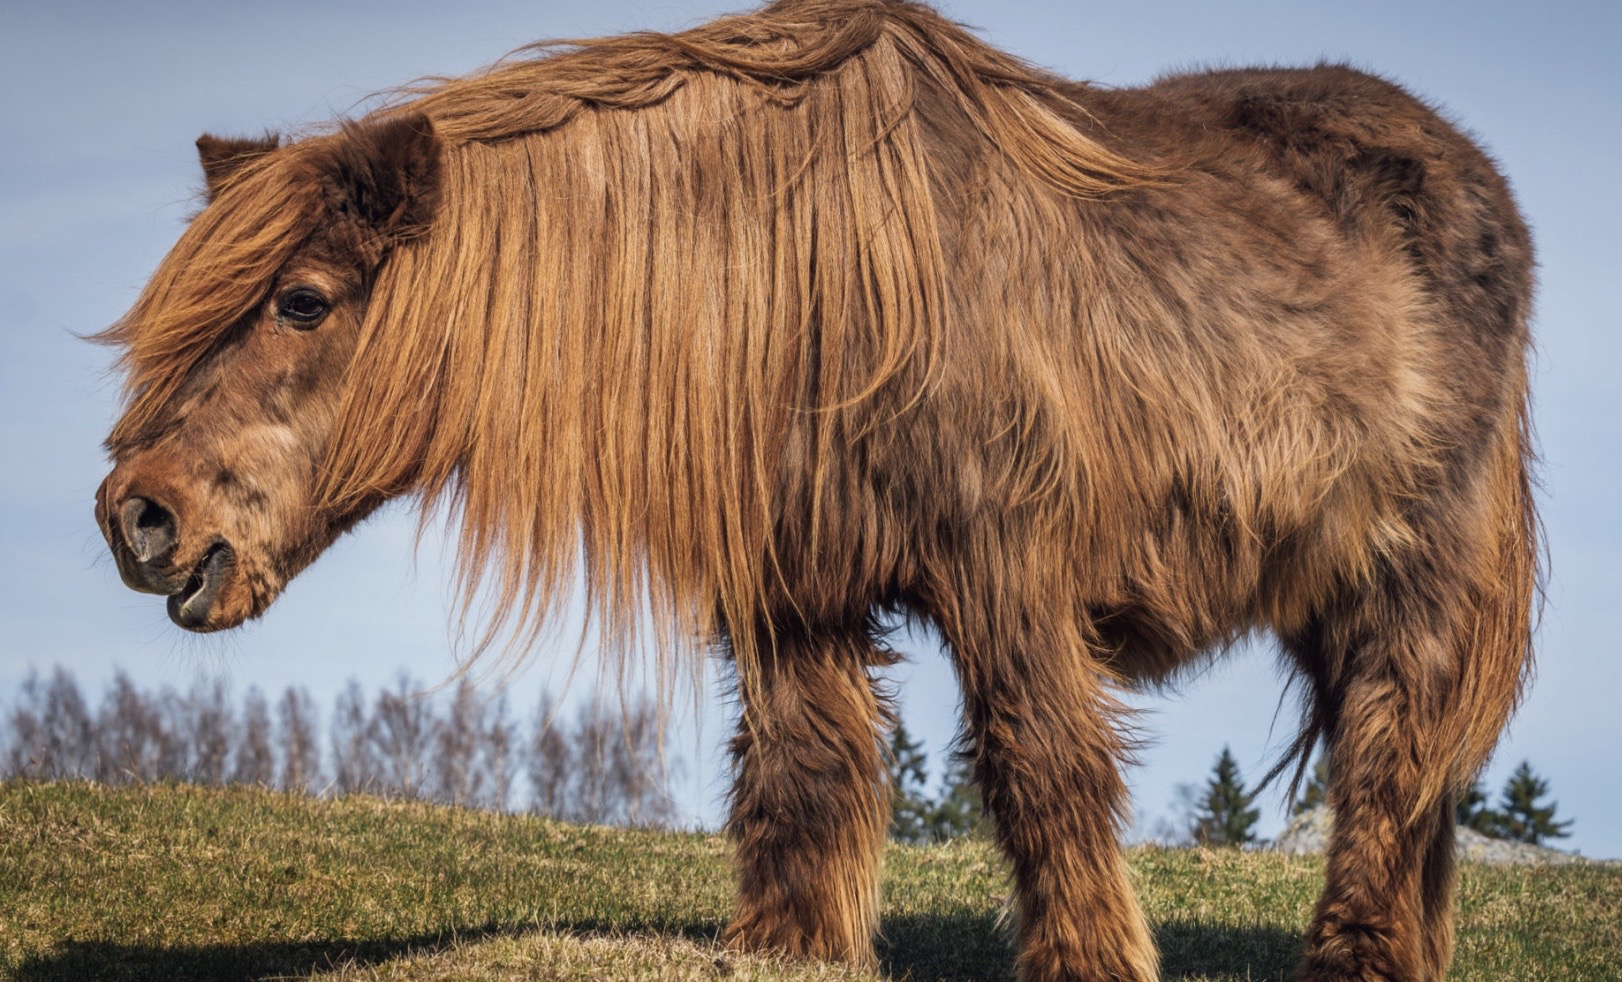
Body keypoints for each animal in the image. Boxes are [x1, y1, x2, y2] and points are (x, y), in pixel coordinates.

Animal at [93, 1, 1537, 978]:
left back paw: (1355, 955)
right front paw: (788, 945)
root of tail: (1474, 181)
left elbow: (1040, 763)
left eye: (302, 300)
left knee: (1388, 752)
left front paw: (1087, 958)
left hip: (1413, 575)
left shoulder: (1004, 569)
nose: (139, 517)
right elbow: (805, 766)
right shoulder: (790, 587)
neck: (800, 283)